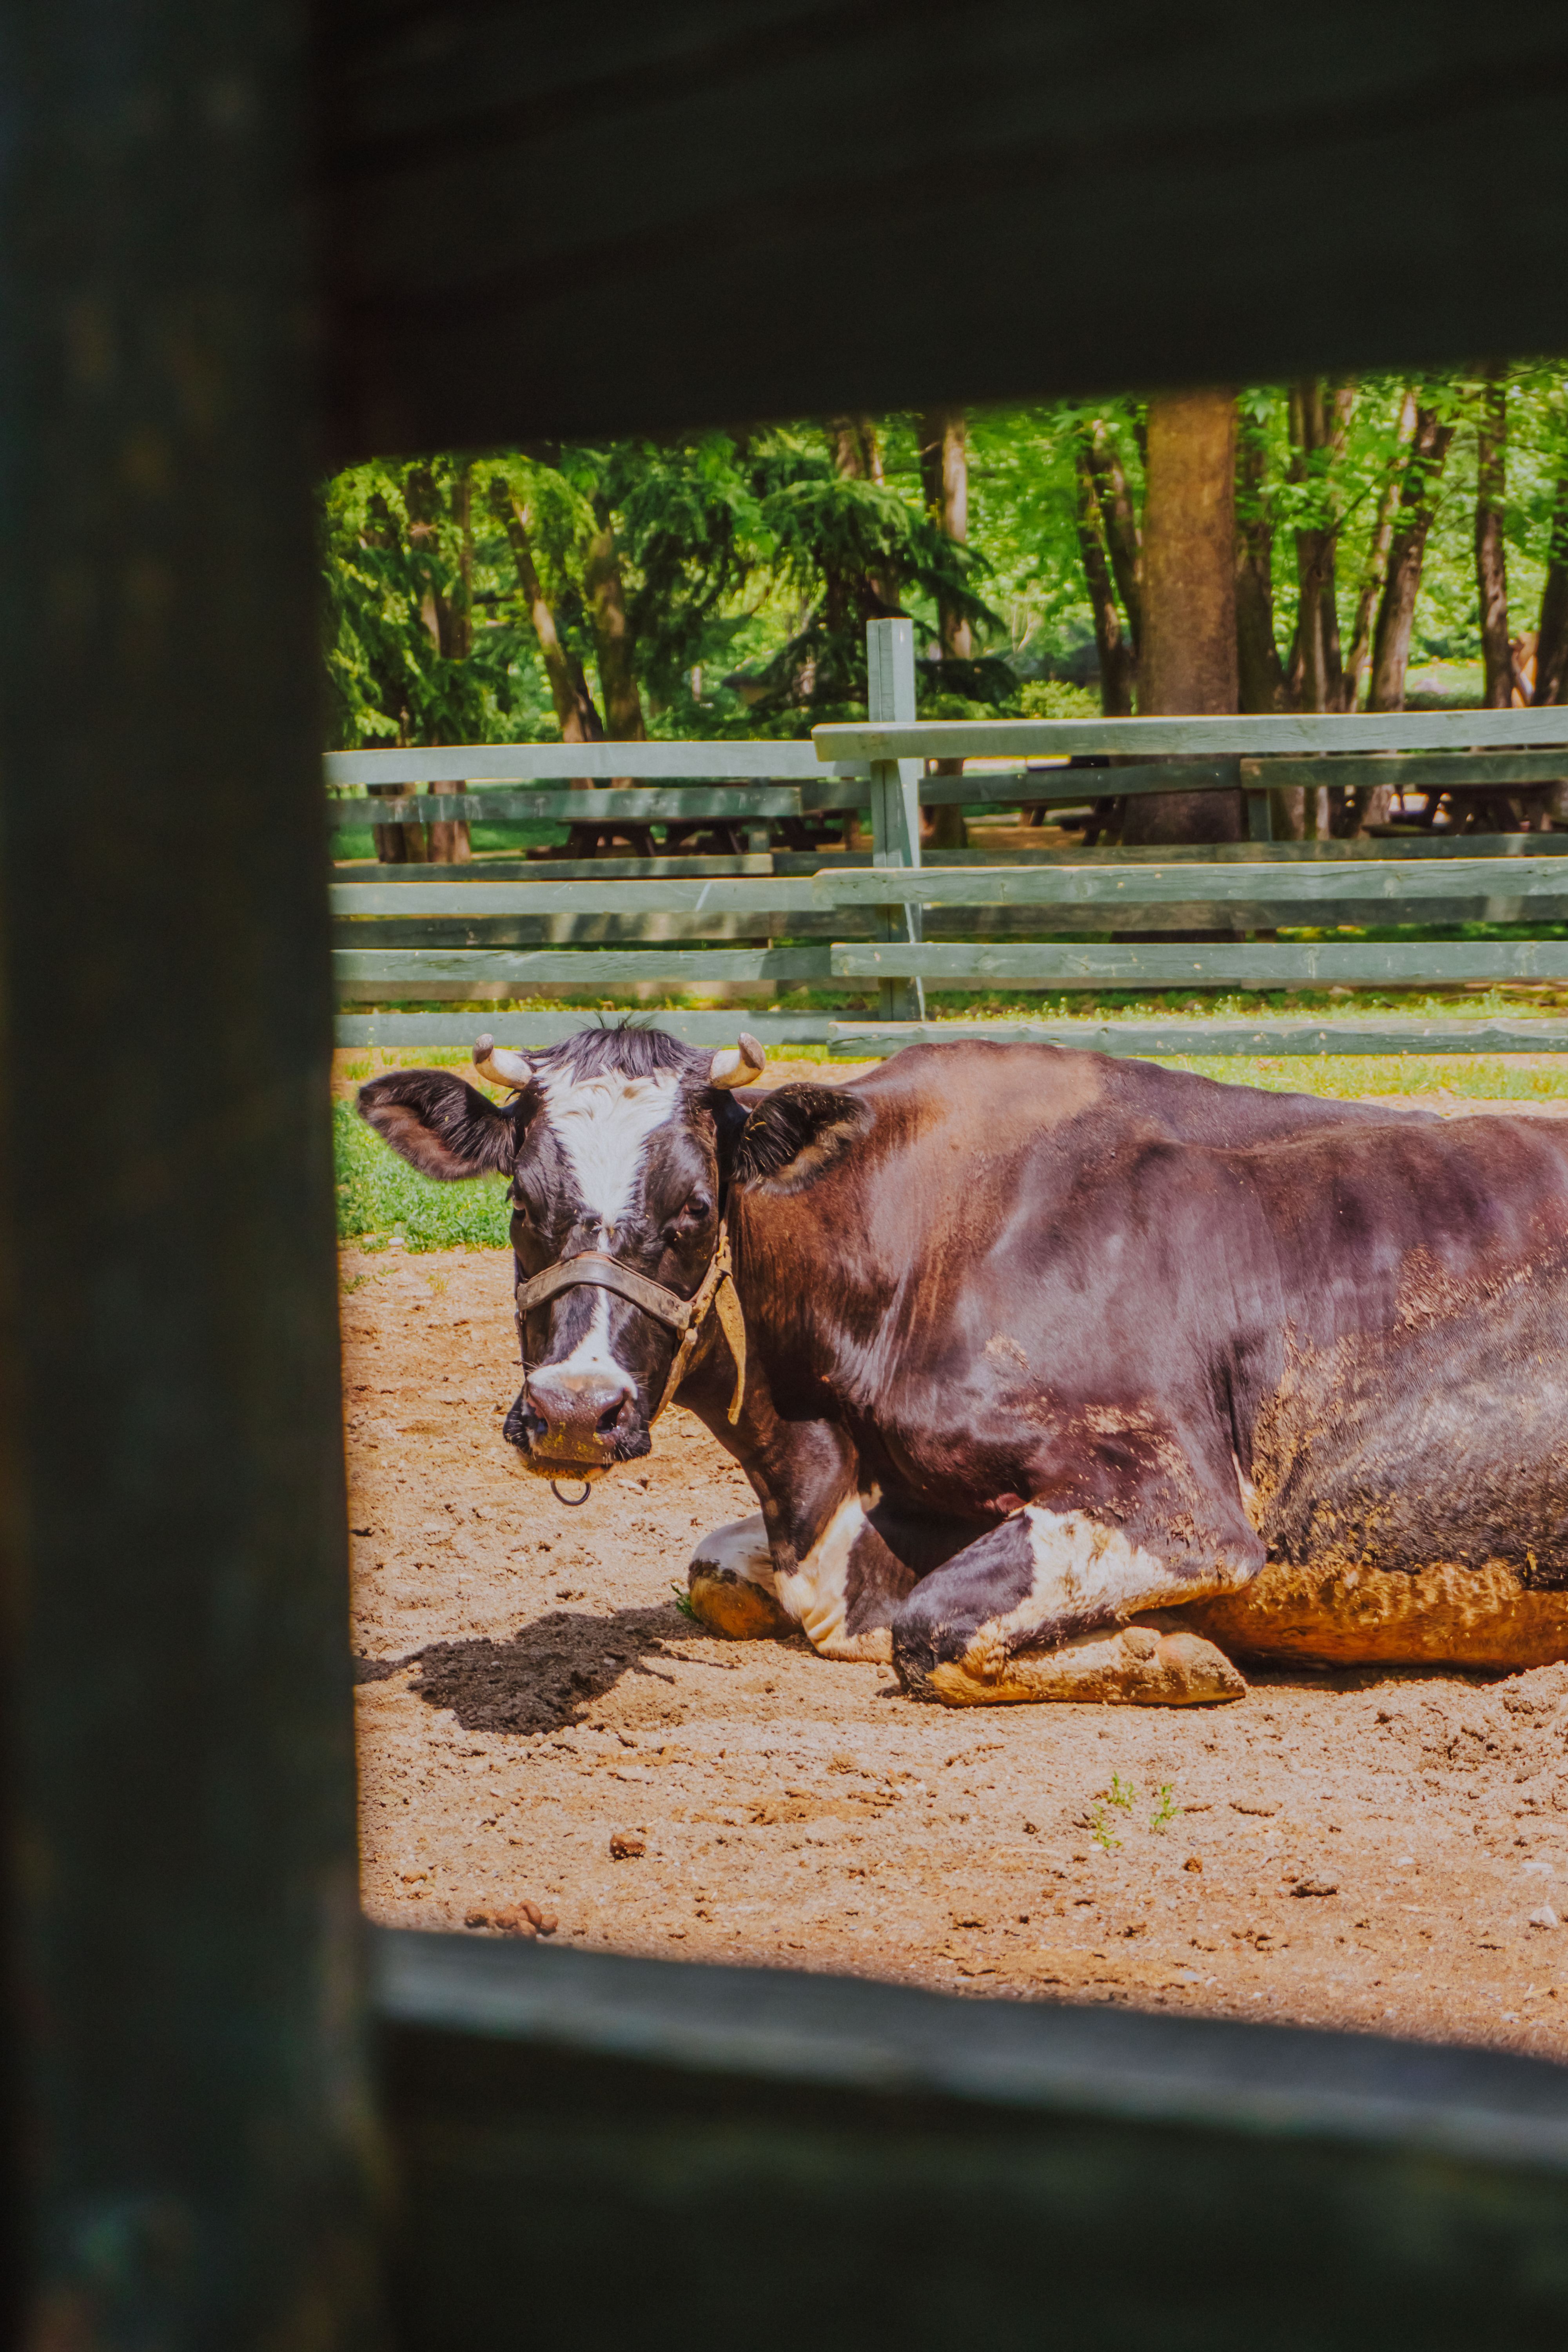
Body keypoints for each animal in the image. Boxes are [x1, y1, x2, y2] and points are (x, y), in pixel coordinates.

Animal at [357, 1025, 1568, 1706]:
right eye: (521, 1204)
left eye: (697, 1208)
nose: (575, 1411)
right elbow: (717, 1569)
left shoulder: (1178, 1504)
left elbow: (932, 1626)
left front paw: (1177, 1654)